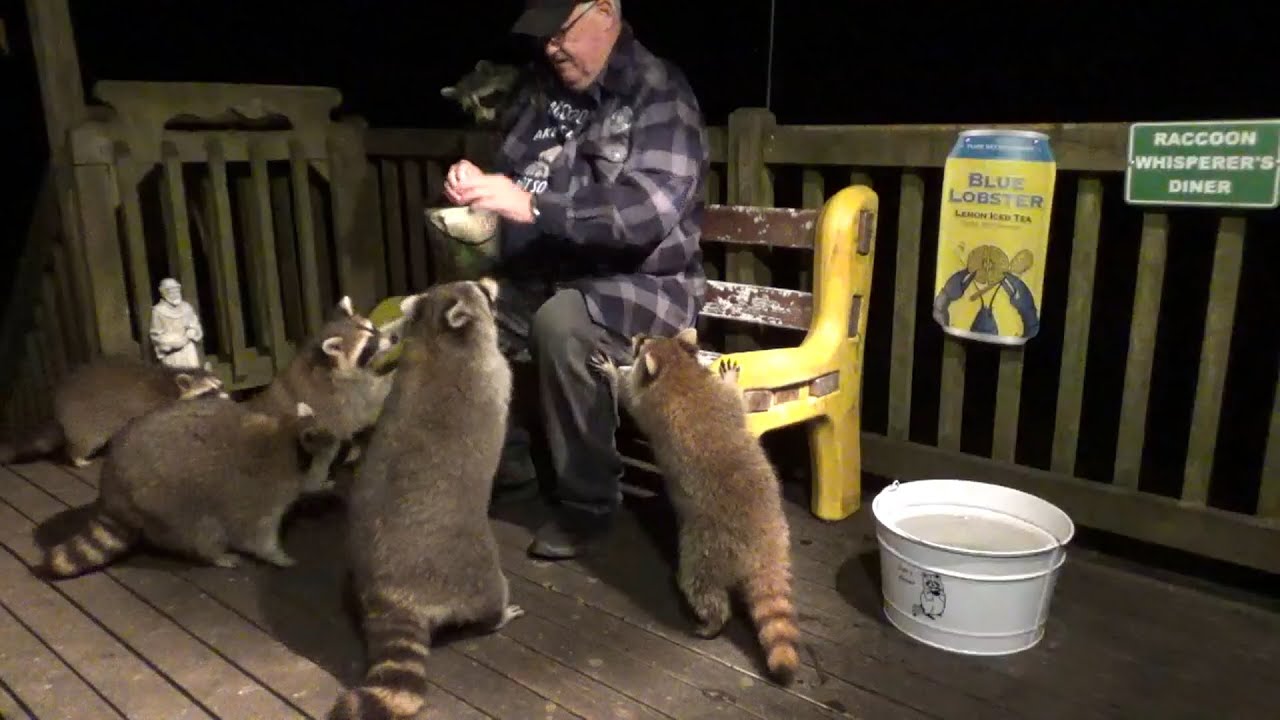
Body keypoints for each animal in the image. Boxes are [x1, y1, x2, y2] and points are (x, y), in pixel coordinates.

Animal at [0, 357, 225, 467]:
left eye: (220, 386)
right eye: (209, 392)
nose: (227, 399)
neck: (172, 383)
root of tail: (57, 410)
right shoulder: (157, 408)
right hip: (85, 421)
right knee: (84, 443)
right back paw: (78, 458)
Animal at [39, 399, 339, 579]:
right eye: (332, 452)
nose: (341, 442)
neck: (284, 437)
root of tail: (111, 488)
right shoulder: (260, 495)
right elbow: (256, 536)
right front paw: (277, 555)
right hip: (167, 504)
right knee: (202, 530)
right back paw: (214, 554)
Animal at [246, 295, 395, 476]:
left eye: (373, 328)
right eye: (368, 345)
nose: (394, 338)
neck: (325, 361)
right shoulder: (336, 396)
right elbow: (369, 401)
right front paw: (391, 374)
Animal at [328, 278, 523, 720]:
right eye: (483, 292)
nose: (493, 283)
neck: (440, 337)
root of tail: (390, 592)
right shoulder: (494, 372)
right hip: (471, 568)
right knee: (490, 593)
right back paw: (499, 614)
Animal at [591, 328, 801, 685]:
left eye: (640, 343)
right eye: (647, 336)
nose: (635, 334)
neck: (679, 368)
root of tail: (764, 544)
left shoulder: (649, 401)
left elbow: (629, 398)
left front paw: (612, 373)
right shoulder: (719, 397)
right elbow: (736, 400)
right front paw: (731, 379)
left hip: (705, 548)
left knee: (701, 586)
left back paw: (713, 618)